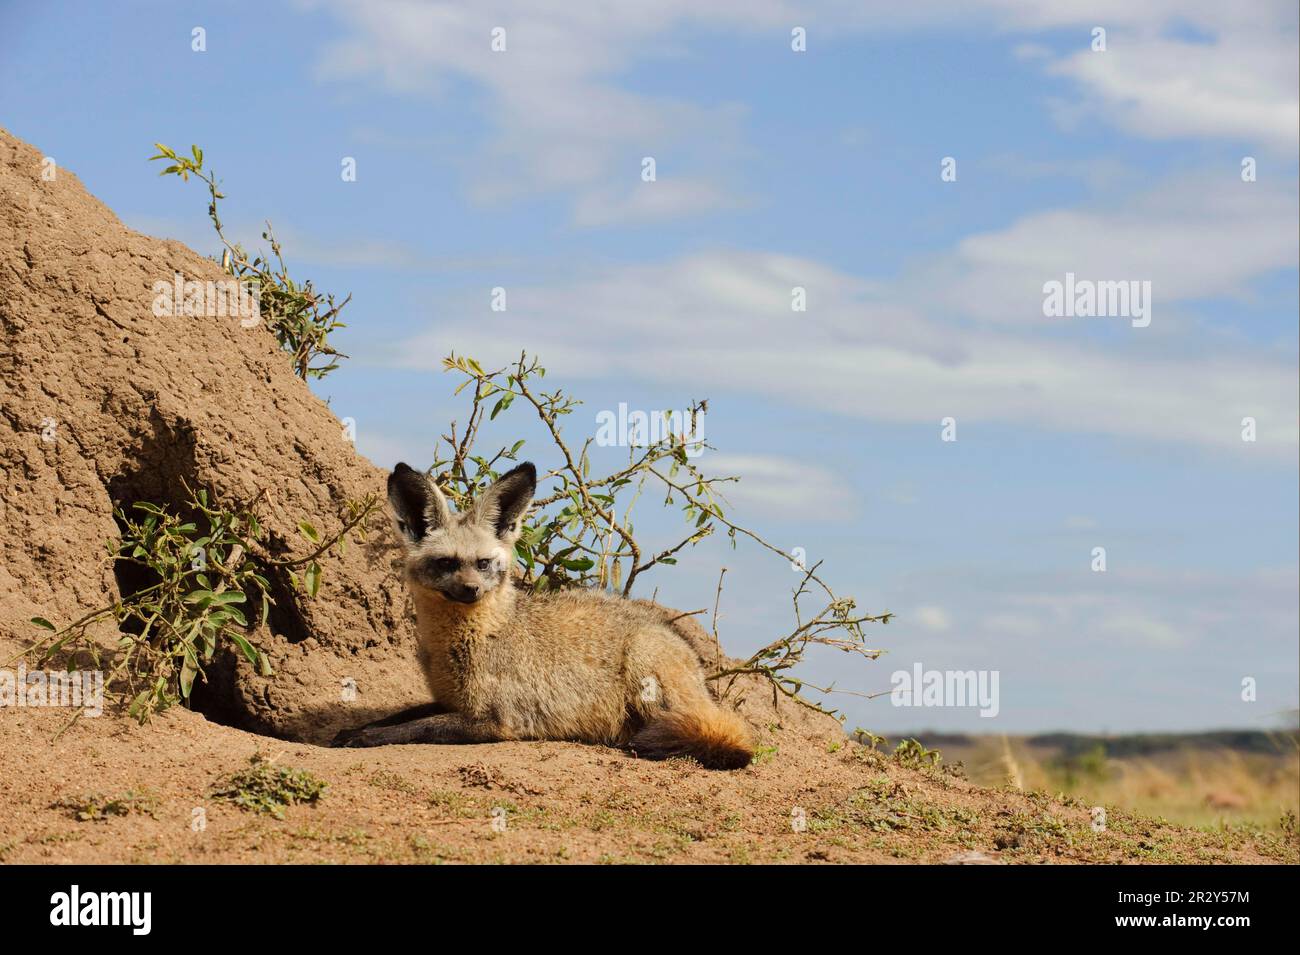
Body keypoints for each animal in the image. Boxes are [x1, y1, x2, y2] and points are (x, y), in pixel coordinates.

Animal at [332, 461, 754, 769]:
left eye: (483, 564)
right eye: (446, 563)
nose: (471, 590)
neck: (473, 638)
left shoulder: (496, 720)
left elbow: (419, 727)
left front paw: (365, 738)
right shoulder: (452, 701)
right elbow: (402, 714)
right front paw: (357, 728)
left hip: (644, 667)